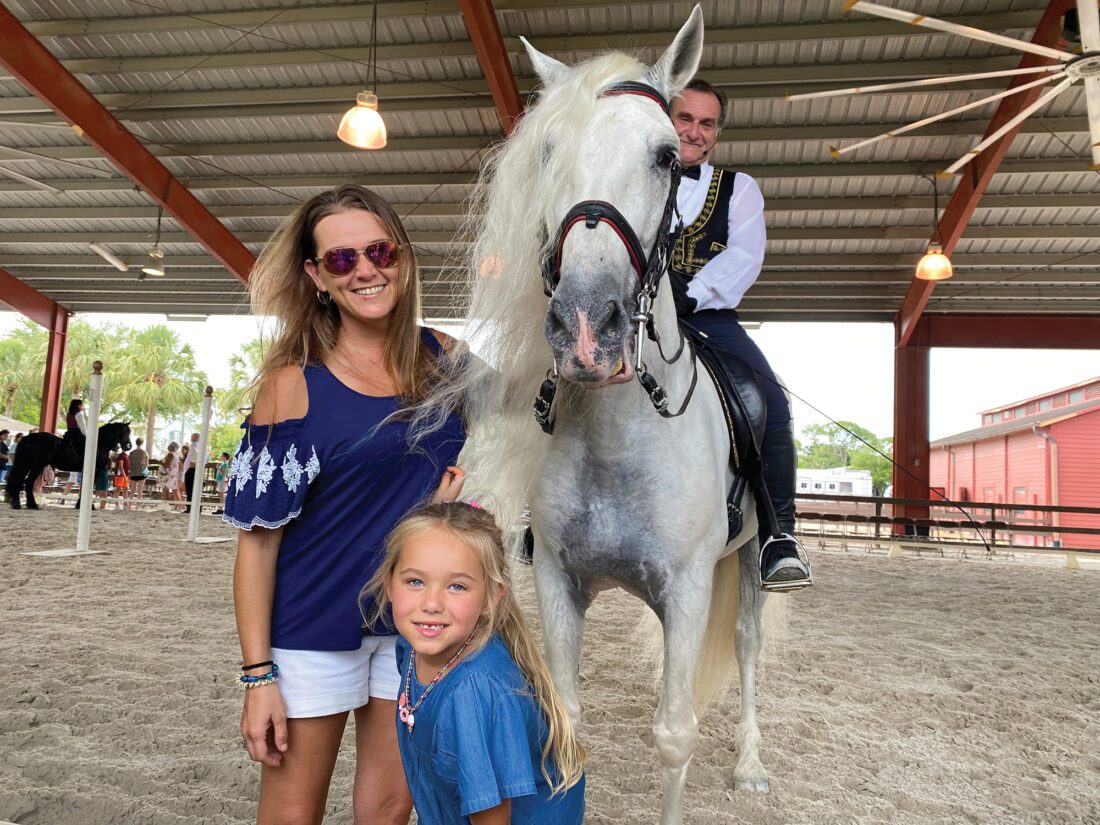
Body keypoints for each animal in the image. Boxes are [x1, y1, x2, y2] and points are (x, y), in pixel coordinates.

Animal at [423, 8, 784, 824]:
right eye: (548, 149)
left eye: (667, 154)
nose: (588, 328)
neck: (620, 435)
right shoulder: (560, 581)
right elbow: (565, 721)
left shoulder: (687, 587)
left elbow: (675, 735)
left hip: (749, 559)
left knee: (749, 647)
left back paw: (752, 764)